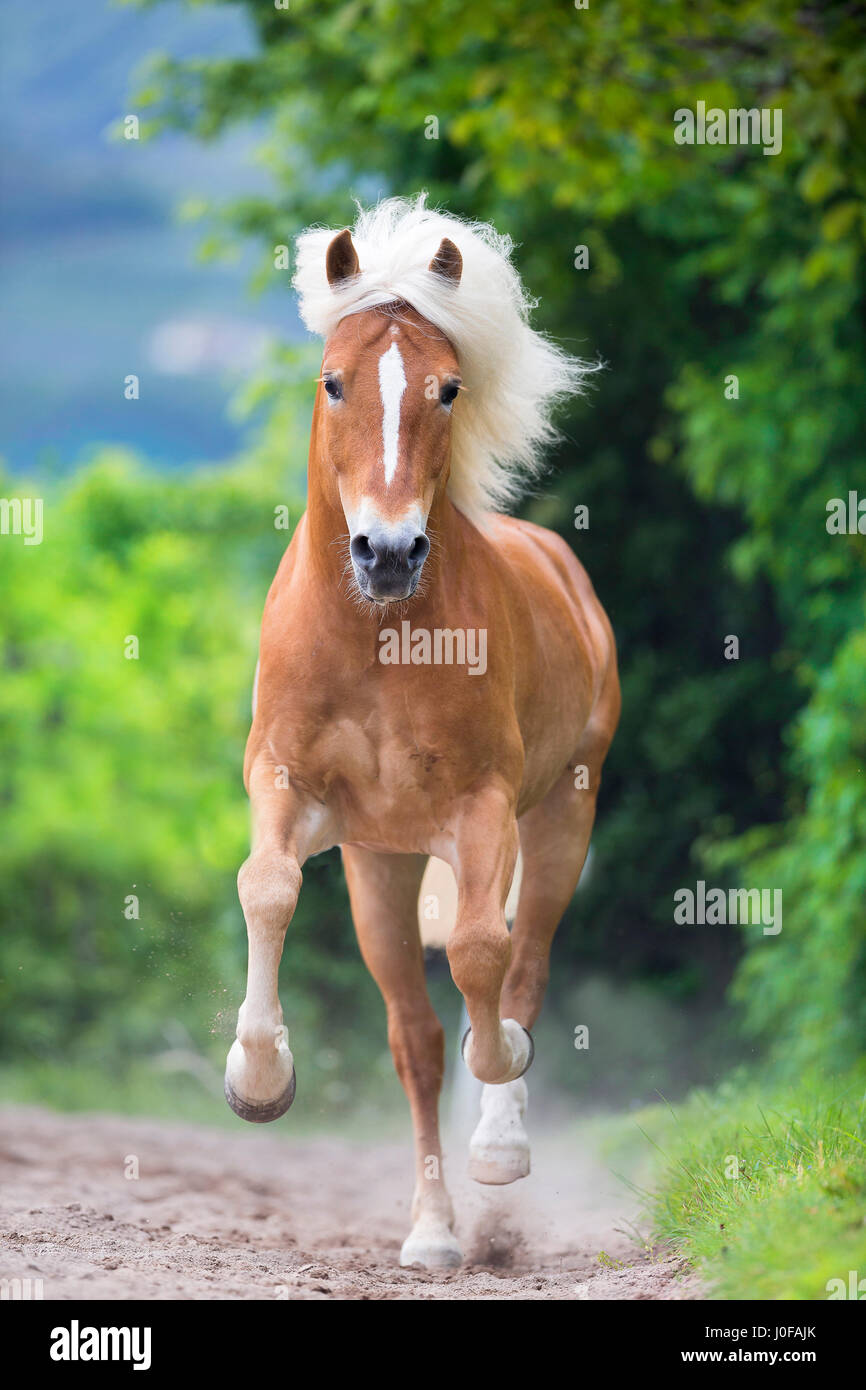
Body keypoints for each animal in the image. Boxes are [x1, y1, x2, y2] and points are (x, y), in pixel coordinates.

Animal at [224, 196, 620, 1269]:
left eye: (447, 388)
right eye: (333, 381)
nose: (389, 552)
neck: (379, 634)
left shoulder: (484, 806)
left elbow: (485, 956)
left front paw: (503, 1124)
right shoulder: (287, 783)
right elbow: (267, 887)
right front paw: (256, 1077)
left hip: (562, 816)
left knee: (524, 965)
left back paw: (496, 1146)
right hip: (385, 866)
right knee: (416, 1041)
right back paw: (436, 1235)